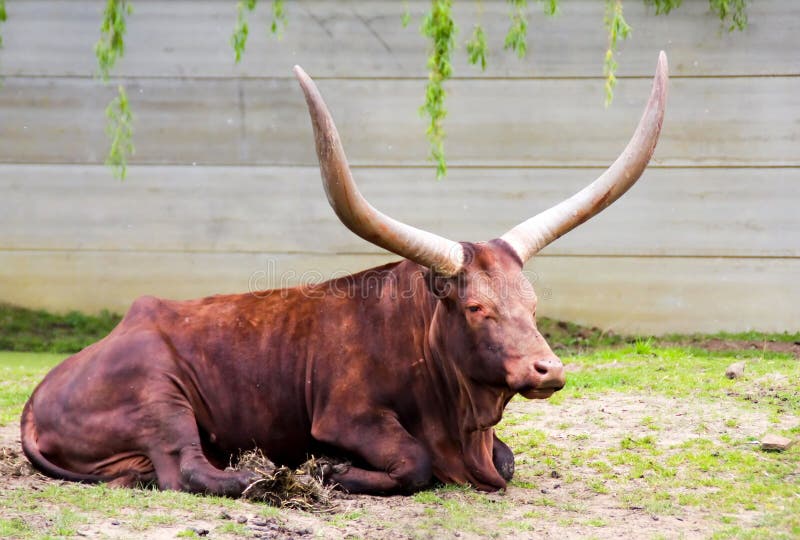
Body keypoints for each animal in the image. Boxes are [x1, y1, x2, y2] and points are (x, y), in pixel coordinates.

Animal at [20, 52, 668, 496]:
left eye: (532, 305)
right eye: (477, 307)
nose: (548, 370)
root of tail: (41, 394)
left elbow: (505, 462)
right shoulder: (345, 415)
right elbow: (415, 463)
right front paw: (332, 468)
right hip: (159, 395)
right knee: (191, 470)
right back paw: (273, 477)